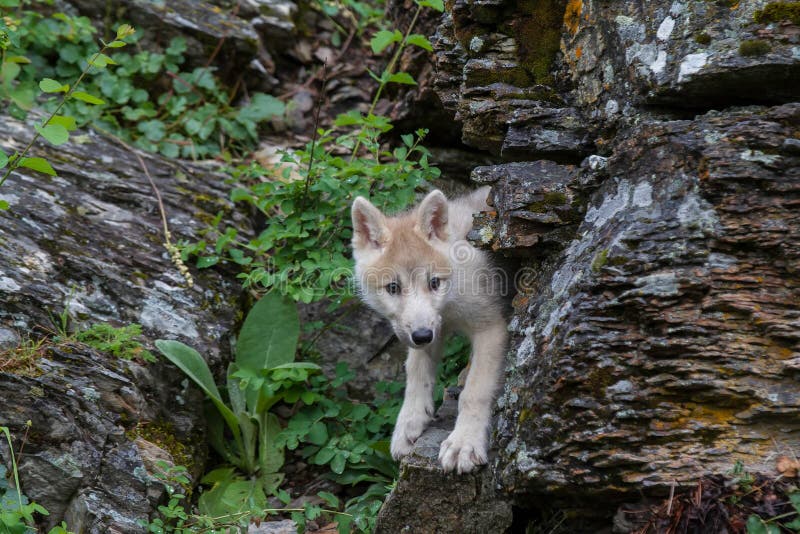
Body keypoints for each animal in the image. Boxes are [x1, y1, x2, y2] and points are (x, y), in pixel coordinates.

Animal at [351, 187, 508, 473]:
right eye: (392, 287)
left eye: (434, 282)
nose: (422, 336)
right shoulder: (430, 328)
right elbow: (416, 372)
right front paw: (409, 422)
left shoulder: (490, 326)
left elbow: (475, 391)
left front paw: (464, 443)